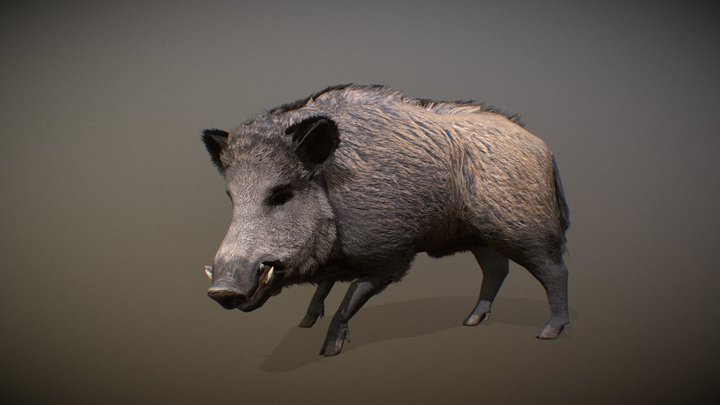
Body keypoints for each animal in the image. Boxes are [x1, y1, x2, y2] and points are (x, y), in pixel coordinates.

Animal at [202, 84, 570, 356]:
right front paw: (305, 323)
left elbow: (351, 296)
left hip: (527, 228)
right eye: (232, 197)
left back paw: (549, 333)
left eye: (281, 194)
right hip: (480, 236)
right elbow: (325, 286)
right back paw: (471, 321)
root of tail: (544, 148)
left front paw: (328, 350)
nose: (222, 290)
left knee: (554, 270)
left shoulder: (390, 255)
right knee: (497, 268)